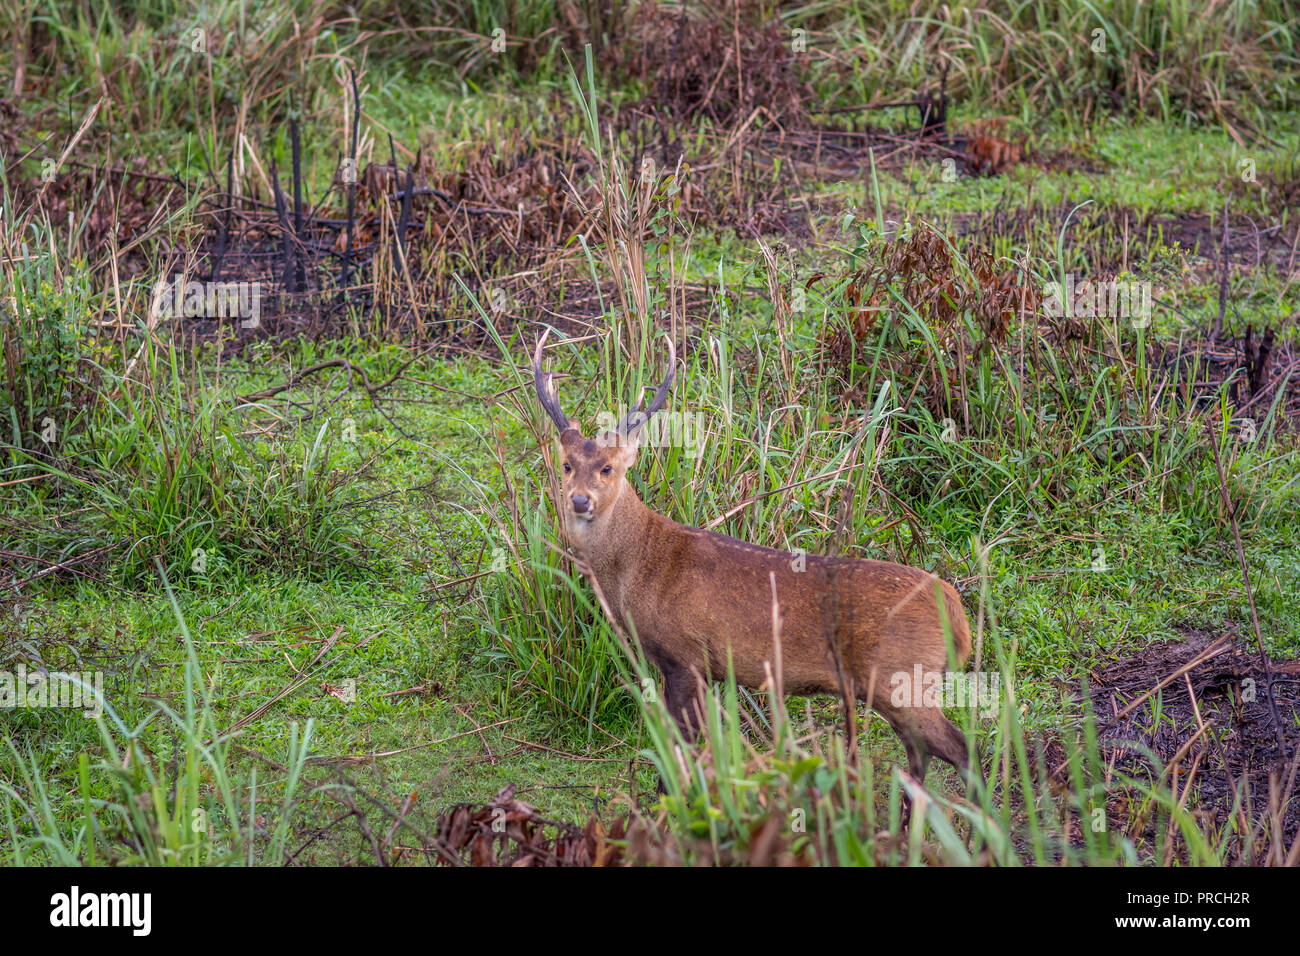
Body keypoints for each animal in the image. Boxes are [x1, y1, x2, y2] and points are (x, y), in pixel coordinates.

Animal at [531, 330, 975, 787]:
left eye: (608, 467)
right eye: (566, 465)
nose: (579, 500)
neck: (643, 566)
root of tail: (956, 612)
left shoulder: (686, 653)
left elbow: (679, 750)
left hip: (900, 675)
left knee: (960, 749)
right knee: (920, 758)